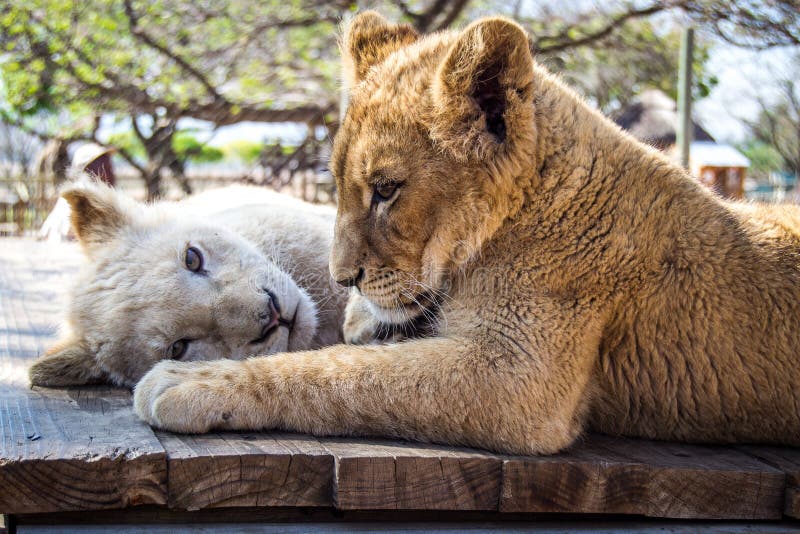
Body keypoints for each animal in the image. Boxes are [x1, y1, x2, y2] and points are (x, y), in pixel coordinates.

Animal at [133, 13, 800, 454]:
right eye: (341, 186)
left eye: (385, 189)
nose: (342, 278)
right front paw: (362, 318)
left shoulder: (517, 379)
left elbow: (337, 374)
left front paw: (188, 382)